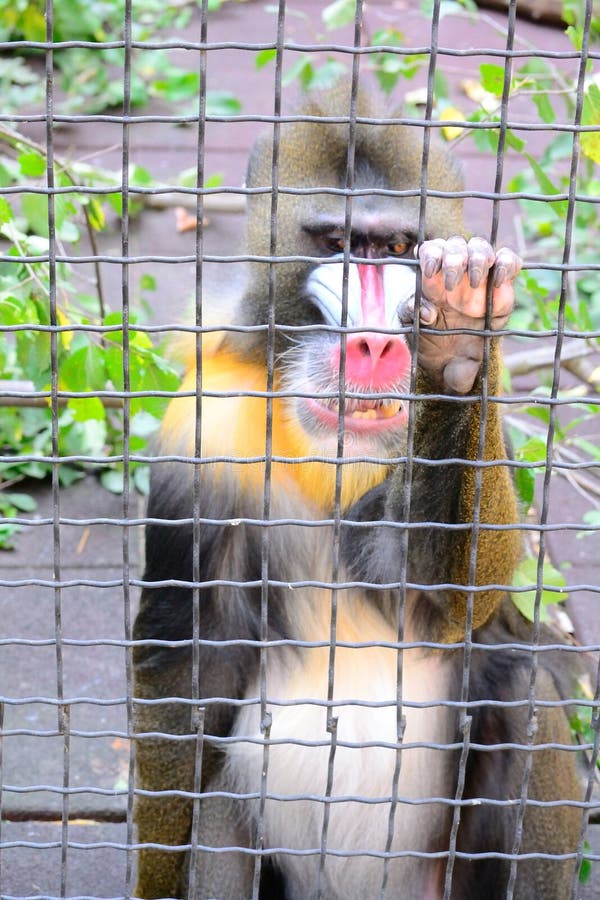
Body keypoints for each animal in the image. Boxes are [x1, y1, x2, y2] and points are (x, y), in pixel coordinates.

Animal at [132, 90, 582, 899]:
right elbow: (185, 665)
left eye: (396, 246)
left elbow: (460, 600)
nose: (374, 344)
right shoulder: (200, 431)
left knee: (525, 687)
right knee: (217, 804)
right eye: (338, 242)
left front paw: (460, 338)